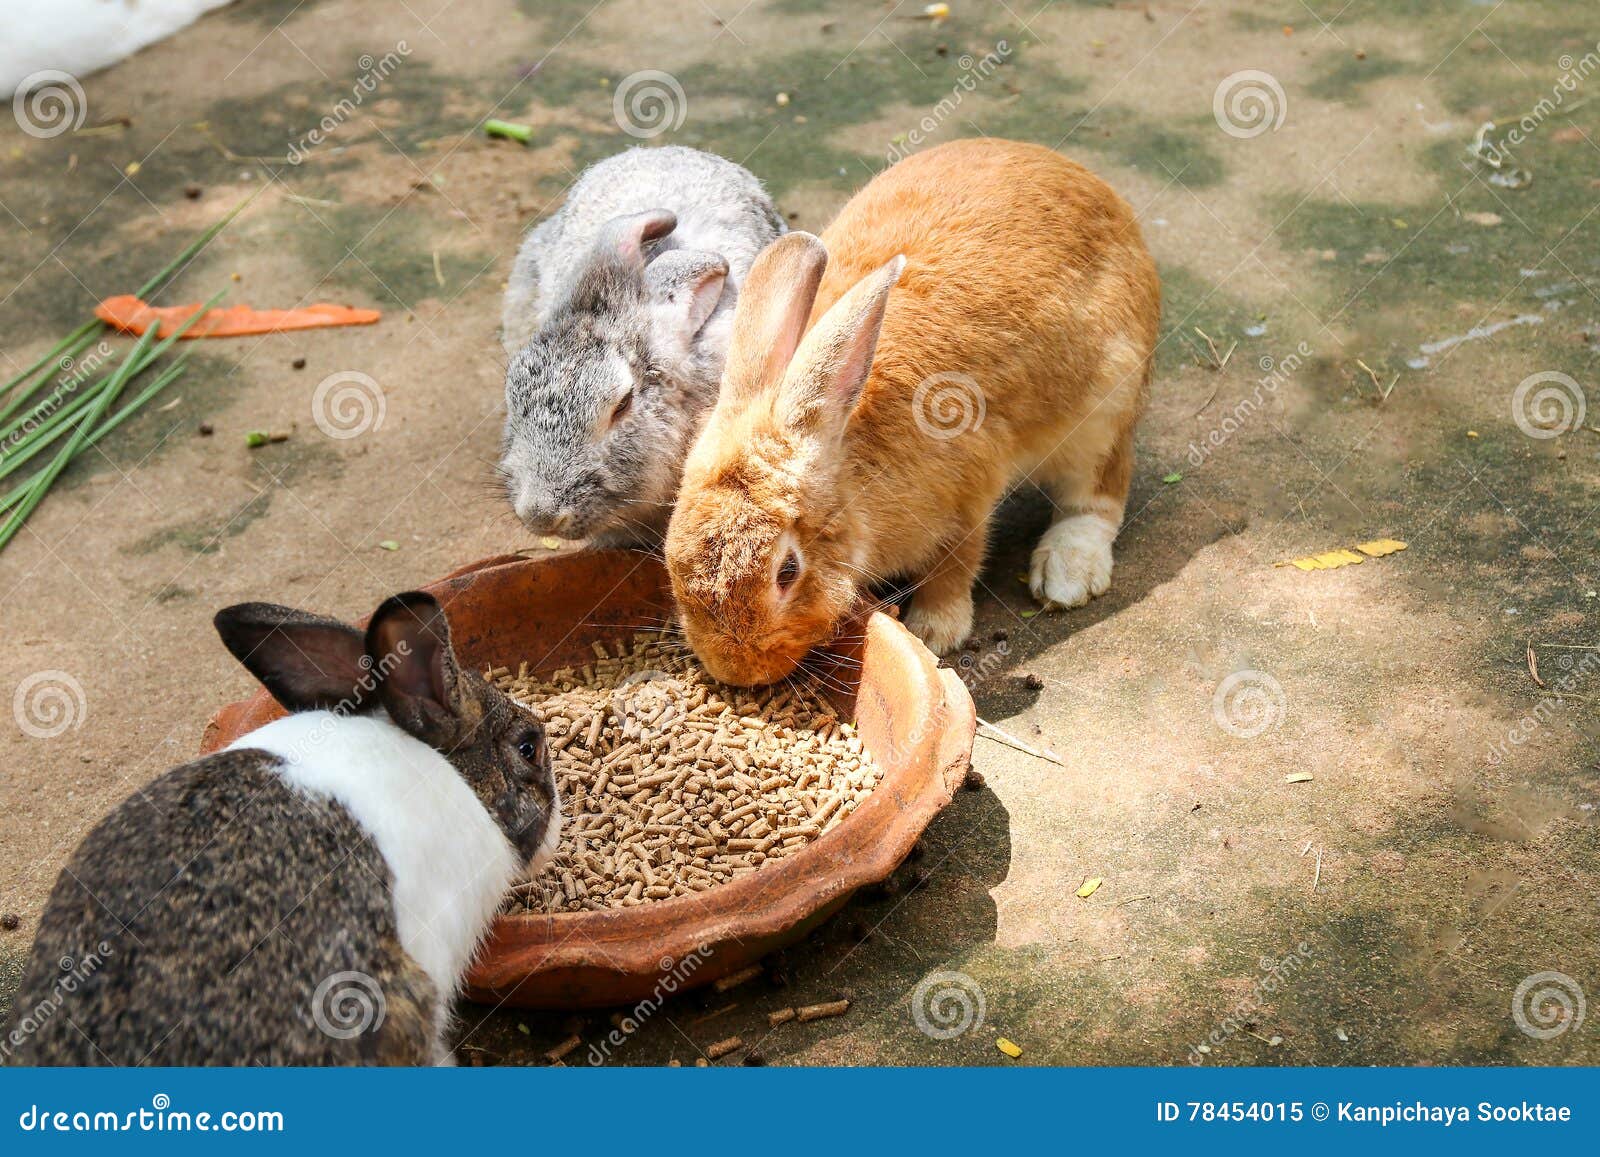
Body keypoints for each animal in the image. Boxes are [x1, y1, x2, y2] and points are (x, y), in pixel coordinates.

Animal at [664, 138, 1160, 686]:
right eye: (671, 556)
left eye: (786, 572)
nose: (734, 670)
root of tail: (1099, 191)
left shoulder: (965, 498)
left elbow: (955, 567)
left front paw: (933, 633)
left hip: (1104, 409)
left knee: (1098, 496)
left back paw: (1067, 575)